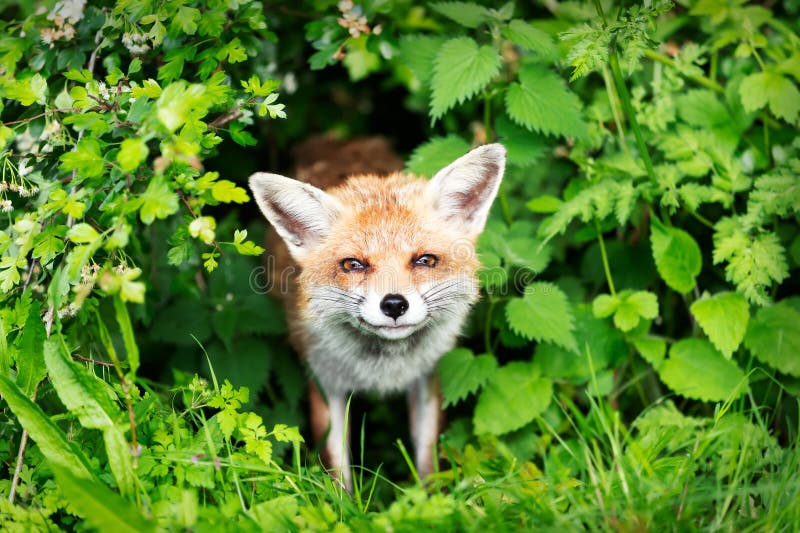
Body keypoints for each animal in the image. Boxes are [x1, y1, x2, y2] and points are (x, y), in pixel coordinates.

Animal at [248, 141, 506, 490]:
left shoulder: (428, 377)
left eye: (425, 260)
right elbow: (336, 468)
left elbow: (428, 458)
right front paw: (344, 504)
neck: (383, 369)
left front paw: (432, 499)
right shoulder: (325, 381)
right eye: (352, 264)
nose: (394, 304)